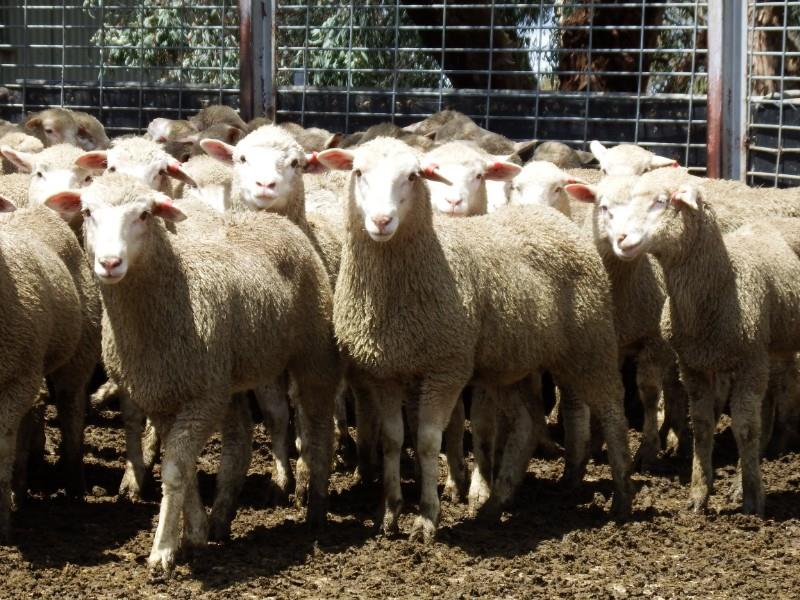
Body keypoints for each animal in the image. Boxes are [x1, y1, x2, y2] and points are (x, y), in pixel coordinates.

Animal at [0, 201, 101, 542]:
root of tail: (36, 210)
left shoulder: (15, 383)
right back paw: (20, 490)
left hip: (78, 350)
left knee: (72, 411)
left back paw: (75, 487)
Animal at [44, 172, 339, 578]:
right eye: (87, 212)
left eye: (145, 214)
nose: (109, 262)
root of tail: (271, 219)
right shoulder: (164, 398)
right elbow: (184, 470)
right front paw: (195, 531)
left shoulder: (200, 399)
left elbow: (174, 471)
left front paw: (163, 552)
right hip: (229, 375)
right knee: (240, 439)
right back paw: (221, 519)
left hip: (311, 351)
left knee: (319, 422)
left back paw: (316, 507)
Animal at [317, 138, 634, 541]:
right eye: (358, 172)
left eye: (413, 176)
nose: (381, 221)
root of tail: (550, 218)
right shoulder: (382, 371)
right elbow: (393, 440)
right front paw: (389, 513)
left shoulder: (446, 366)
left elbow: (427, 442)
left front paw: (427, 517)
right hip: (512, 362)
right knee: (526, 423)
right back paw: (497, 503)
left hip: (589, 342)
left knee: (611, 409)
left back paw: (623, 497)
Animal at [595, 167, 800, 516]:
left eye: (661, 202)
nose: (620, 238)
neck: (723, 285)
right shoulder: (693, 365)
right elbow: (703, 426)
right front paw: (698, 495)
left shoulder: (749, 361)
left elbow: (745, 428)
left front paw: (751, 499)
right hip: (773, 348)